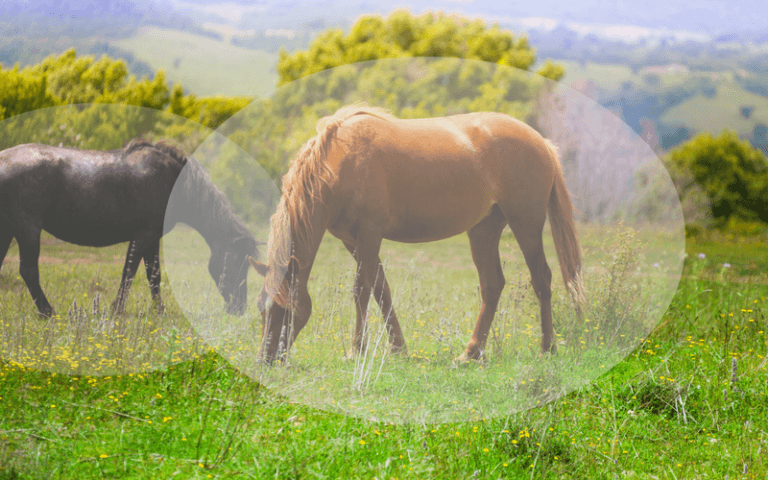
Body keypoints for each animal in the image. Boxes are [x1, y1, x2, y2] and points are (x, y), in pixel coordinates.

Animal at [0, 139, 259, 317]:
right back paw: (49, 313)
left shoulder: (152, 239)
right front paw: (119, 309)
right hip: (27, 229)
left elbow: (152, 275)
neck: (173, 182)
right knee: (29, 271)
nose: (239, 308)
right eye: (238, 262)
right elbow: (133, 273)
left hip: (9, 230)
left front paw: (158, 311)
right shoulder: (144, 236)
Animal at [249, 105, 584, 364]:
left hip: (526, 223)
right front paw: (398, 348)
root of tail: (542, 142)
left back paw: (547, 348)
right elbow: (382, 291)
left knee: (541, 279)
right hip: (483, 231)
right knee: (492, 286)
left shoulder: (369, 233)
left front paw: (357, 350)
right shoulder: (353, 241)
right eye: (261, 307)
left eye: (285, 309)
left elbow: (361, 290)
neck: (340, 163)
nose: (265, 358)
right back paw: (471, 354)